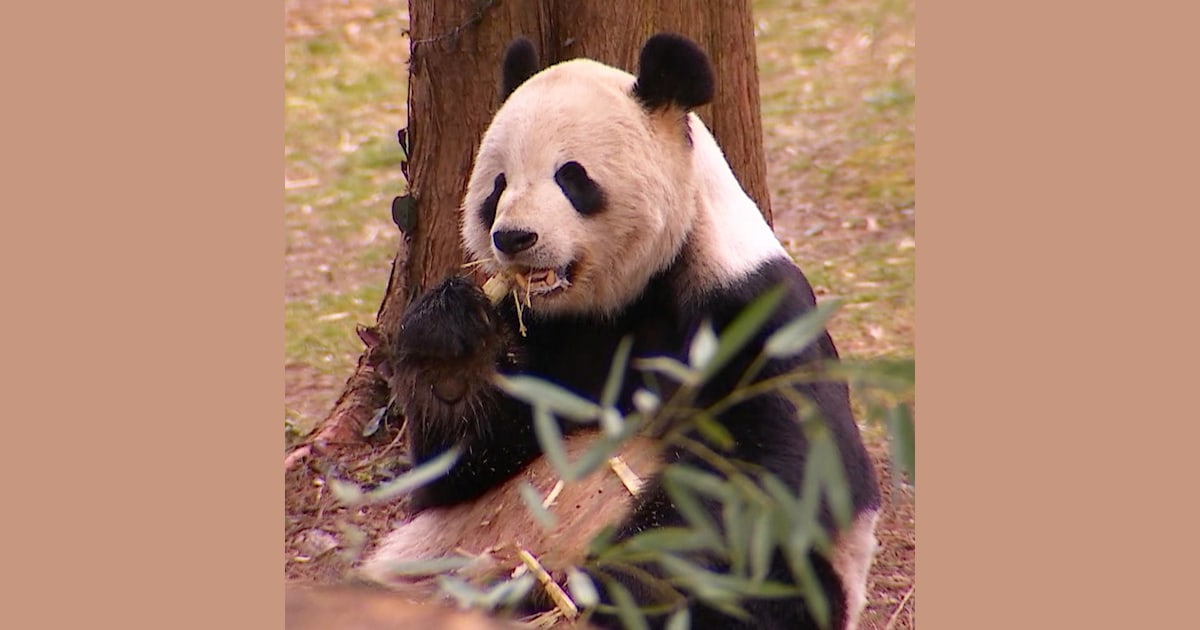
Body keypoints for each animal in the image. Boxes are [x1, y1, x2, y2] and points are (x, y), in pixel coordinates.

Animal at [359, 33, 881, 630]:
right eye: (498, 185)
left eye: (571, 177)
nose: (513, 237)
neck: (623, 297)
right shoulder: (544, 333)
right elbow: (459, 471)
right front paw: (448, 348)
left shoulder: (754, 312)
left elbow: (778, 470)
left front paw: (613, 582)